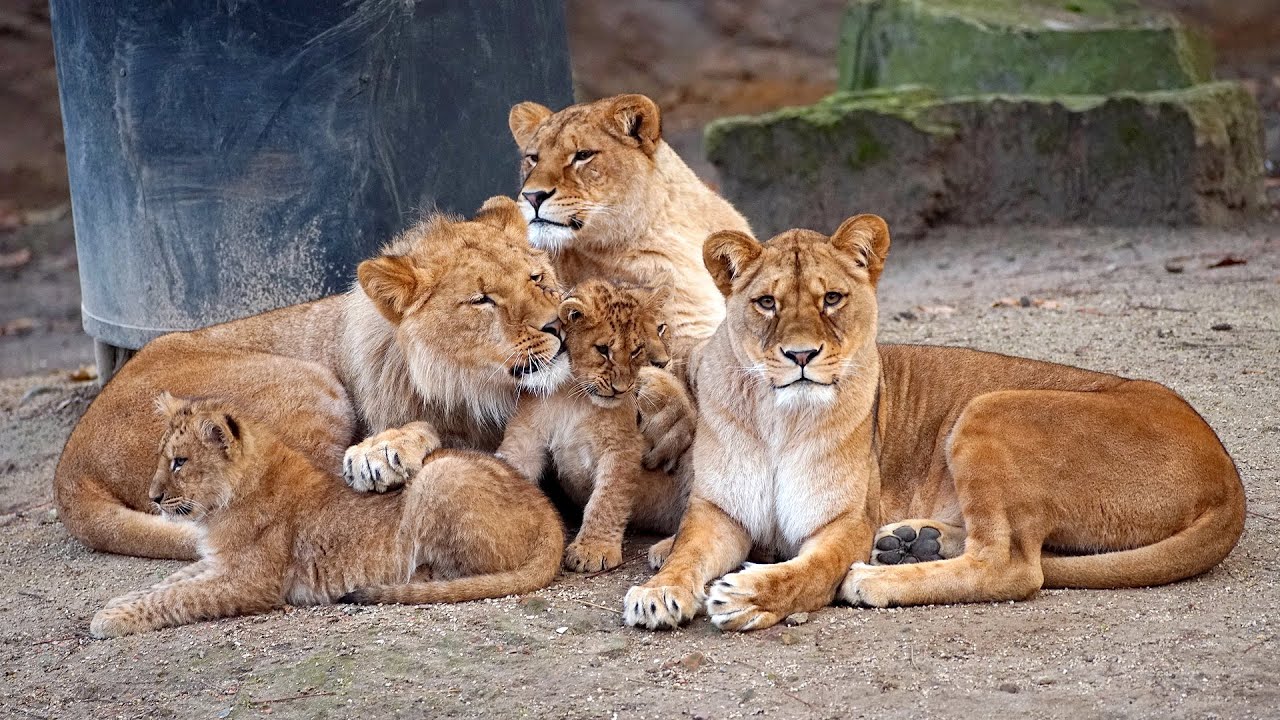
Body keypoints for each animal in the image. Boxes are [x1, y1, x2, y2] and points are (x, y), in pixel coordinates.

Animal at [55, 197, 573, 560]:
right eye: (482, 300)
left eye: (537, 278)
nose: (559, 325)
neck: (474, 387)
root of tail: (70, 468)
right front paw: (383, 450)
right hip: (307, 381)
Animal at [90, 394, 563, 638]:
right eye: (163, 458)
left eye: (179, 462)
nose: (152, 498)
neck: (221, 507)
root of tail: (552, 518)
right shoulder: (218, 563)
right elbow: (168, 582)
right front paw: (115, 604)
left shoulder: (248, 582)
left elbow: (177, 597)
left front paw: (109, 620)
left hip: (437, 475)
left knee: (465, 571)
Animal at [497, 279, 693, 573]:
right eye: (603, 350)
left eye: (635, 351)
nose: (621, 389)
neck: (571, 394)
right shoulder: (524, 437)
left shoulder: (622, 446)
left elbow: (607, 500)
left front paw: (593, 549)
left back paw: (667, 548)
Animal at [623, 215, 1246, 631]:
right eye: (767, 303)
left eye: (832, 298)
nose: (801, 355)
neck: (780, 417)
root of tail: (1228, 478)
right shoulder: (720, 511)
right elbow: (687, 553)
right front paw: (657, 591)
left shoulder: (846, 519)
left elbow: (811, 571)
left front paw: (750, 596)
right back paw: (911, 542)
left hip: (990, 407)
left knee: (1012, 566)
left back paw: (877, 575)